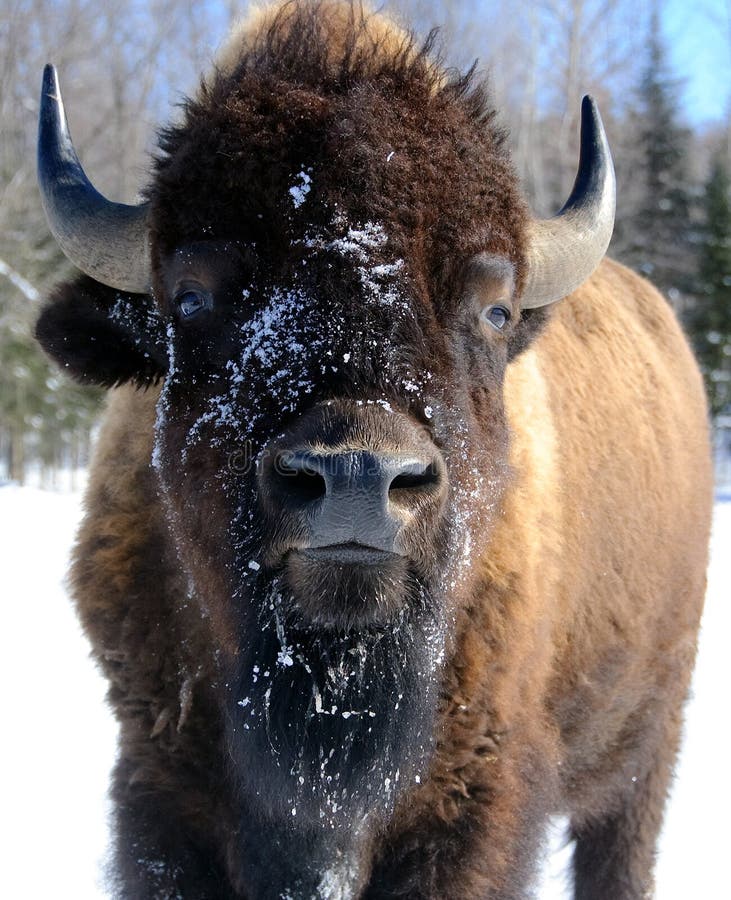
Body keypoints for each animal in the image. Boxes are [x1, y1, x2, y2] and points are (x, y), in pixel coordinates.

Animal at [34, 2, 713, 898]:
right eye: (190, 296)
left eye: (493, 309)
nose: (357, 474)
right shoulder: (162, 782)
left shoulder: (472, 799)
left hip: (645, 748)